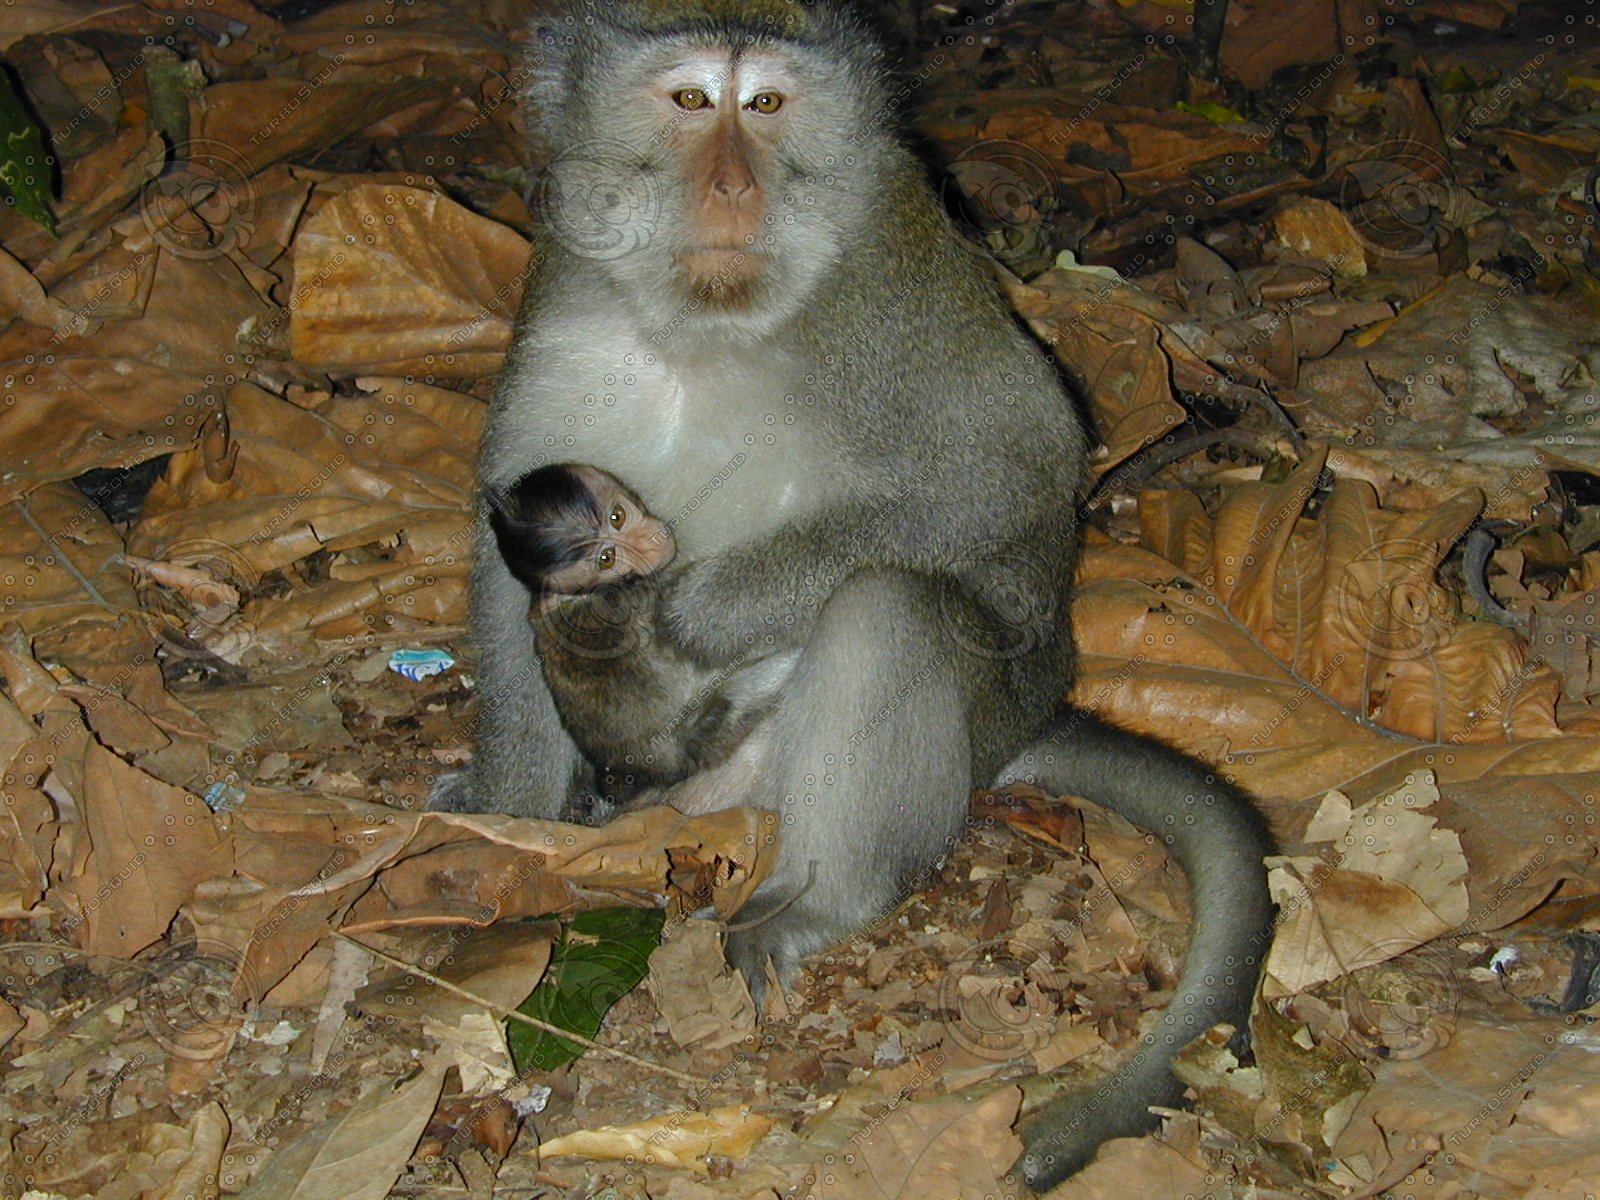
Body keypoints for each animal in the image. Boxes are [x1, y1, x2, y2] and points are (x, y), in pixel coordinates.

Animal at [430, 1, 1275, 1188]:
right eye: (689, 98)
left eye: (766, 103)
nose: (732, 186)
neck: (713, 322)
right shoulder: (565, 297)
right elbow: (507, 543)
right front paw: (508, 821)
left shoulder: (891, 299)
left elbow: (1006, 476)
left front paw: (693, 612)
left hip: (948, 721)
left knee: (885, 604)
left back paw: (824, 901)